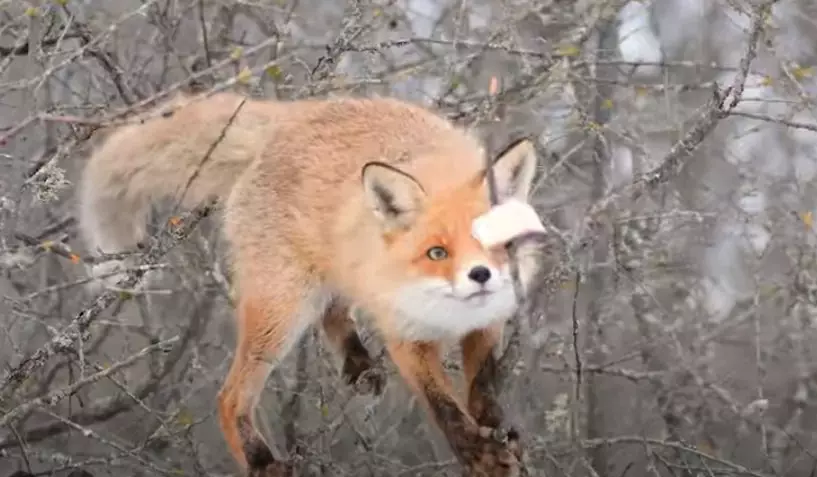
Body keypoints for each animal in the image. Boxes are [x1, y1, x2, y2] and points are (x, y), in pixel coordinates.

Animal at [75, 91, 536, 474]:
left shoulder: (488, 322)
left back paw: (358, 363)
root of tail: (292, 115)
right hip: (281, 313)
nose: (480, 276)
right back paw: (261, 461)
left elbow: (483, 386)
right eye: (437, 253)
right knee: (229, 397)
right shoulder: (405, 333)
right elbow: (444, 407)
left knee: (333, 311)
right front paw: (480, 455)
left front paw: (498, 431)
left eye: (494, 244)